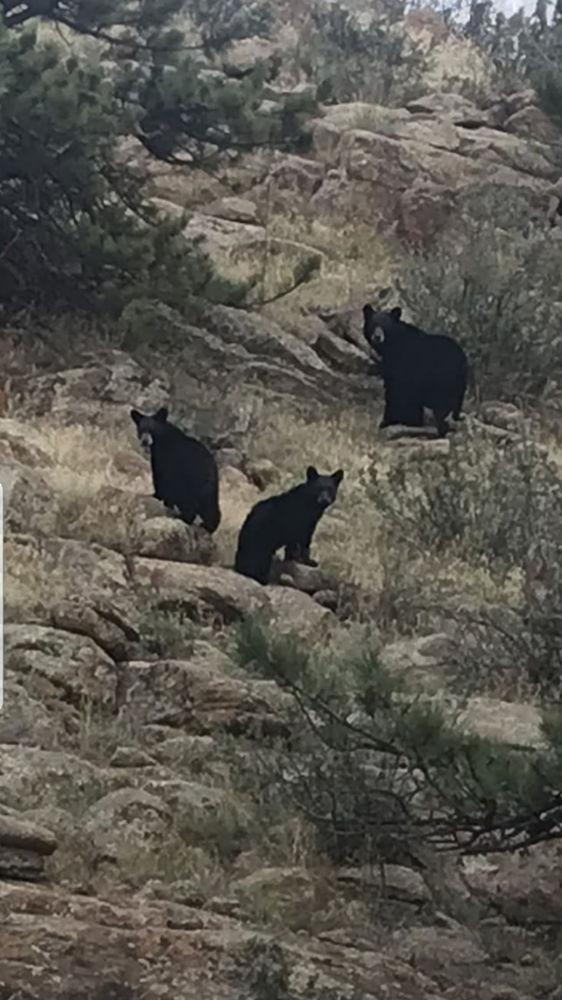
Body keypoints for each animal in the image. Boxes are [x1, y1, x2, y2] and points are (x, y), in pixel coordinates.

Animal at [363, 304, 468, 437]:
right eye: (373, 323)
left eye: (386, 326)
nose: (377, 336)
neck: (391, 346)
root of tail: (463, 360)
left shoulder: (404, 368)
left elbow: (396, 393)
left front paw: (388, 421)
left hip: (443, 381)